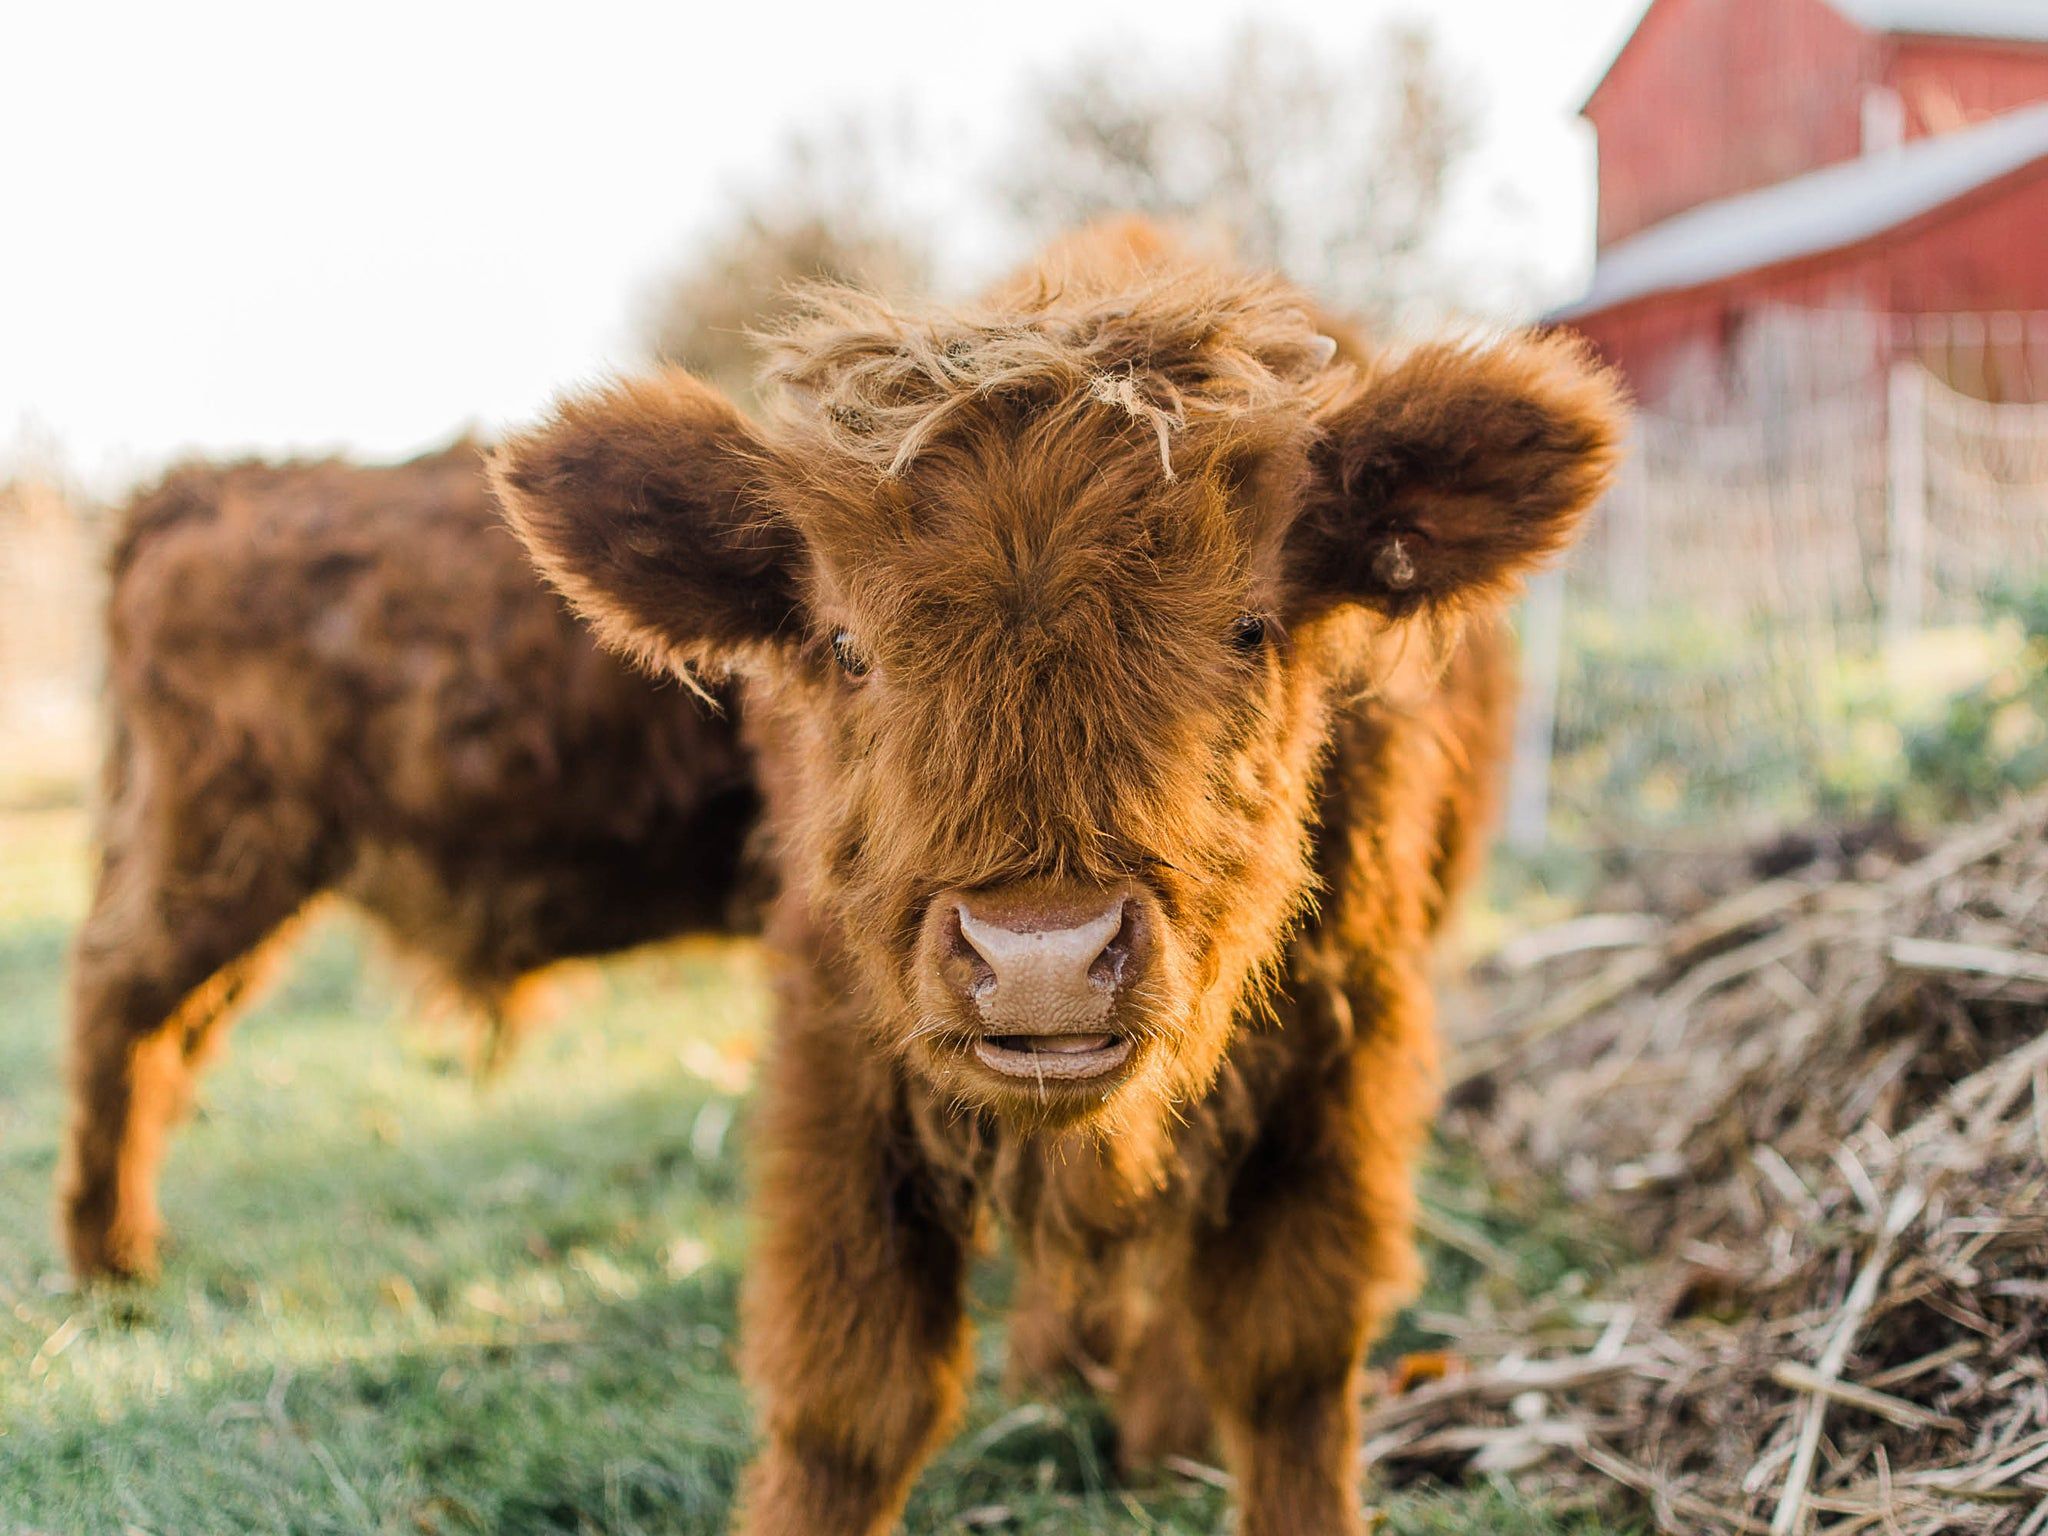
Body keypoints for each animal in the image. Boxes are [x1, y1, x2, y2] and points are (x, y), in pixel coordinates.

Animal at [492, 224, 1624, 1536]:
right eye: (846, 646)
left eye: (1248, 628)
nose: (1043, 960)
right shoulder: (841, 1061)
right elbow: (849, 1397)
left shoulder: (1341, 1052)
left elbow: (1286, 1364)